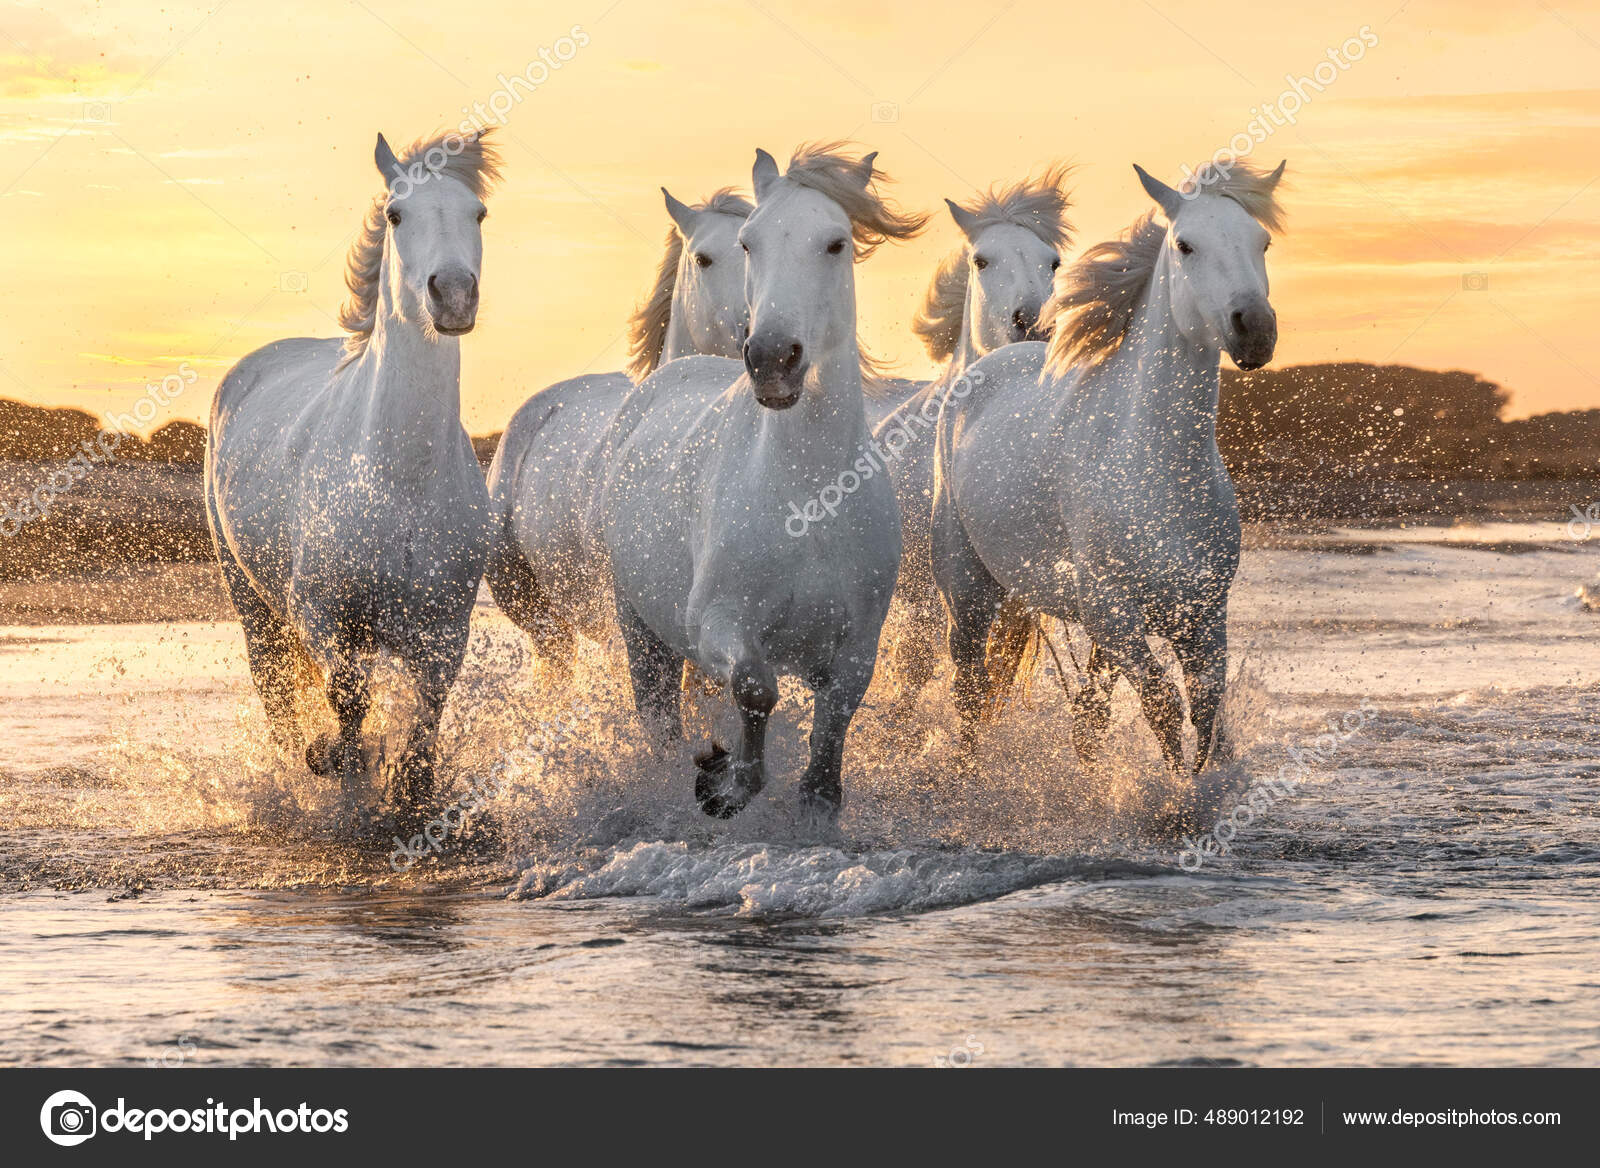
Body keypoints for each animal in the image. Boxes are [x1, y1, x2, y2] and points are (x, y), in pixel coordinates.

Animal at [205, 129, 500, 816]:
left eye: (478, 213)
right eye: (395, 214)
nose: (452, 294)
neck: (399, 479)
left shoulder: (444, 630)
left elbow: (423, 725)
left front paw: (406, 788)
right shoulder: (320, 612)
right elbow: (347, 700)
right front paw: (332, 763)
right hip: (252, 601)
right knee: (279, 700)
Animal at [595, 143, 927, 818]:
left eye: (836, 243)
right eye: (751, 242)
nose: (772, 358)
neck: (808, 495)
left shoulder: (856, 646)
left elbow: (829, 741)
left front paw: (809, 799)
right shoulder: (717, 624)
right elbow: (755, 689)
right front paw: (722, 779)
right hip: (641, 629)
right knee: (659, 715)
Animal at [929, 159, 1285, 799]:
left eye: (1261, 241)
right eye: (1185, 244)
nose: (1254, 329)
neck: (1155, 467)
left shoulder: (1202, 616)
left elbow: (1203, 708)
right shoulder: (1113, 614)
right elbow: (1164, 705)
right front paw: (1174, 801)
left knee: (1083, 714)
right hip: (966, 588)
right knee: (969, 689)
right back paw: (968, 777)